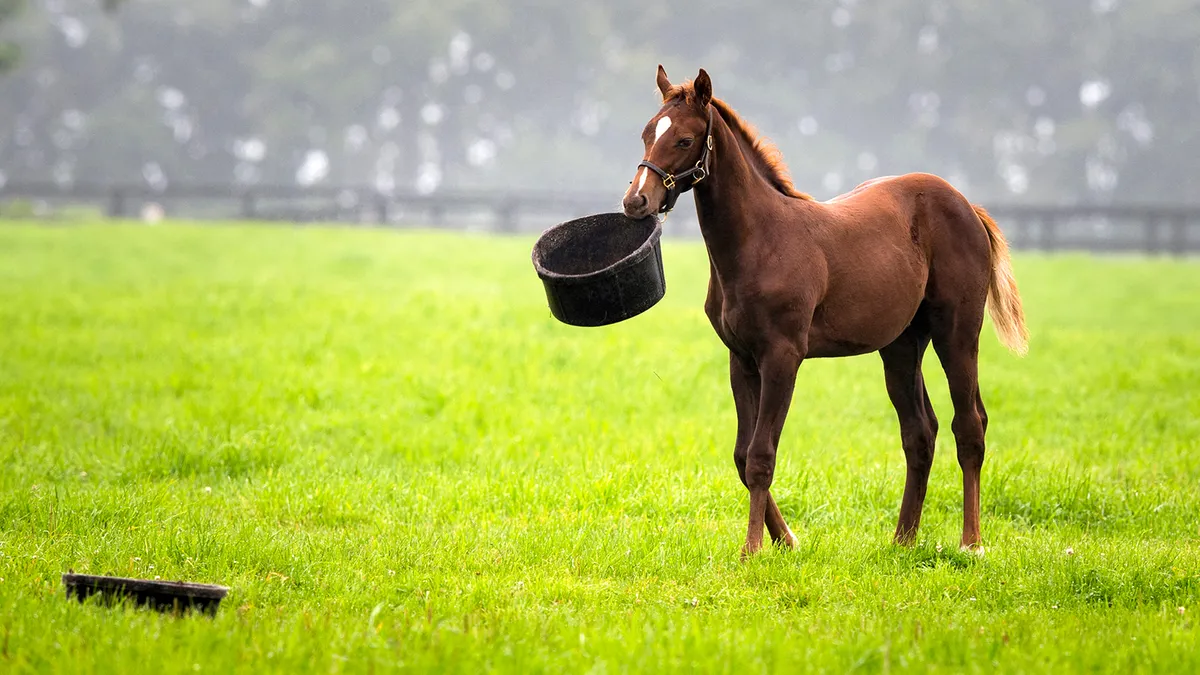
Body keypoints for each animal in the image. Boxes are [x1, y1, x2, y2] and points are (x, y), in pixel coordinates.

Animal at [621, 66, 1028, 558]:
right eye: (647, 133)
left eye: (683, 139)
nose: (635, 201)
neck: (759, 240)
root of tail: (966, 205)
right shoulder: (741, 359)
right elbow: (741, 455)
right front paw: (786, 540)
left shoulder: (783, 357)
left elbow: (761, 455)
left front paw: (753, 549)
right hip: (901, 346)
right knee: (920, 432)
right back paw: (903, 540)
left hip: (958, 333)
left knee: (969, 426)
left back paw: (971, 543)